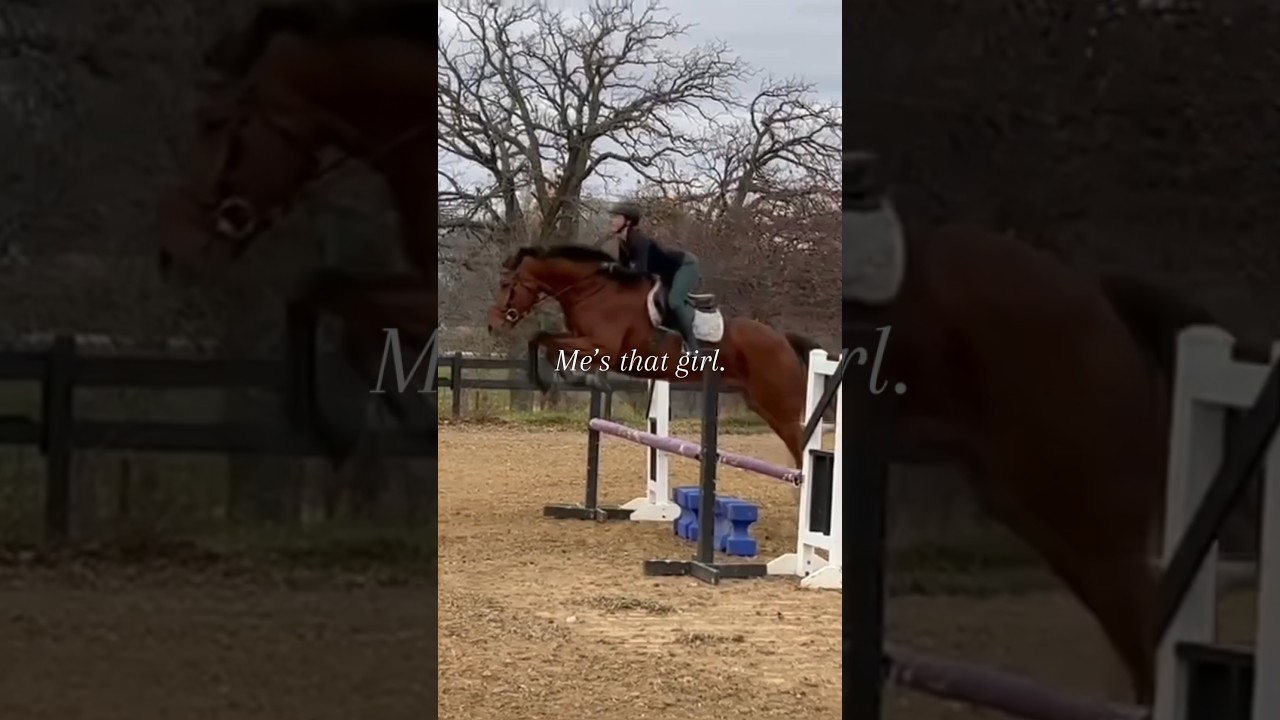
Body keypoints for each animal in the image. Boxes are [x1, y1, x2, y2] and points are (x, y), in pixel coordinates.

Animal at [157, 1, 437, 461]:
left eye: (215, 123)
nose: (171, 253)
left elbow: (340, 298)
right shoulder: (420, 282)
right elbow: (319, 293)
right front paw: (327, 430)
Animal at [486, 244, 824, 467]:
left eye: (506, 285)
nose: (493, 325)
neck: (593, 290)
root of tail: (782, 339)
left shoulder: (603, 347)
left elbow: (546, 342)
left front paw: (565, 380)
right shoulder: (585, 342)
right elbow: (542, 340)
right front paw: (569, 378)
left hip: (780, 402)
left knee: (800, 441)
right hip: (763, 404)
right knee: (795, 442)